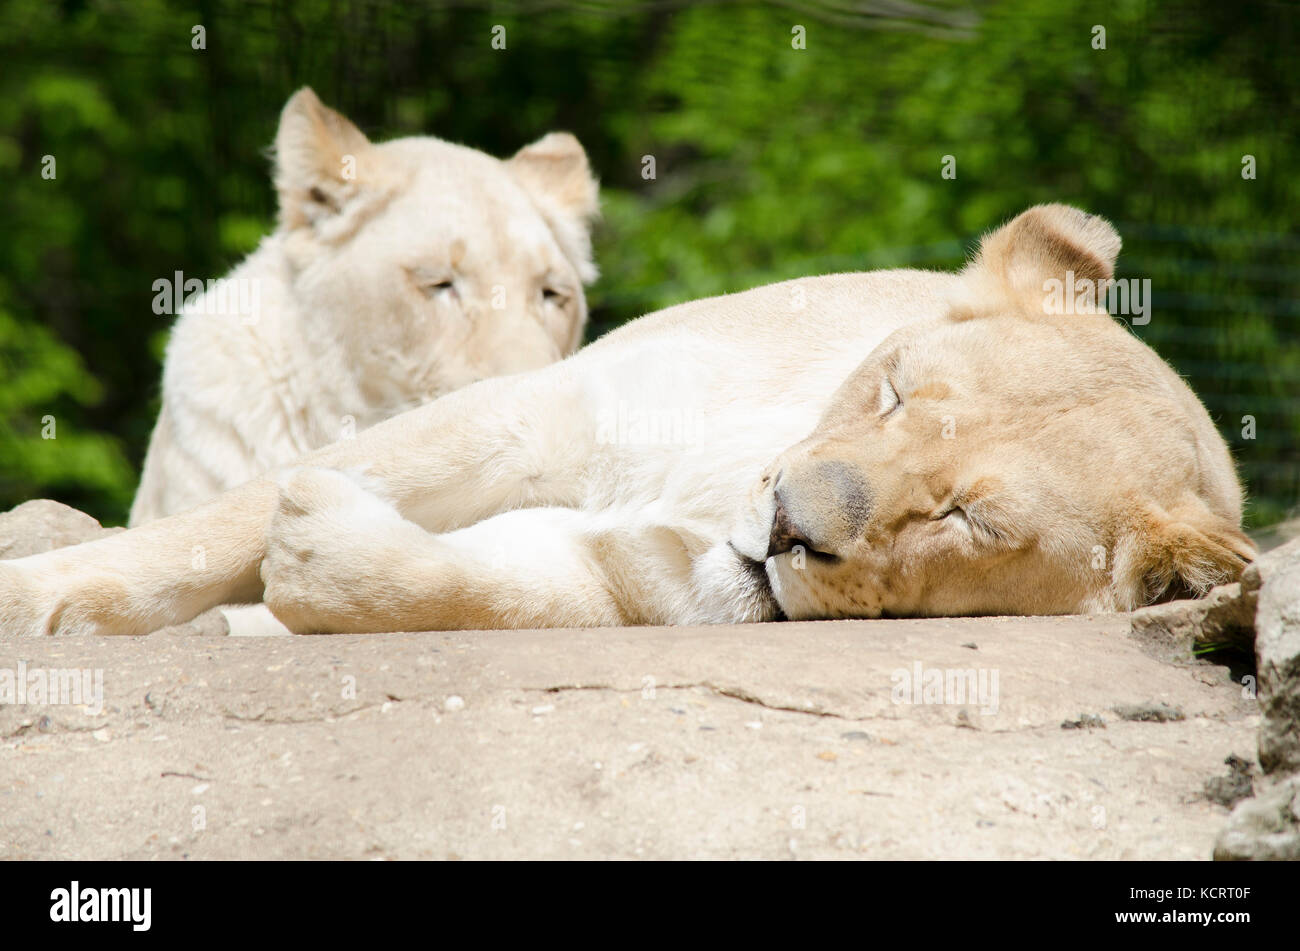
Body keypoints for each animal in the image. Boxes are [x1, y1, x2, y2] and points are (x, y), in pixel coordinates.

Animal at [0, 205, 1255, 635]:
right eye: (896, 390)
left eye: (970, 524)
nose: (789, 524)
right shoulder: (539, 409)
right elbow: (204, 530)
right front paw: (40, 599)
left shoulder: (674, 578)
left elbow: (500, 590)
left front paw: (316, 551)